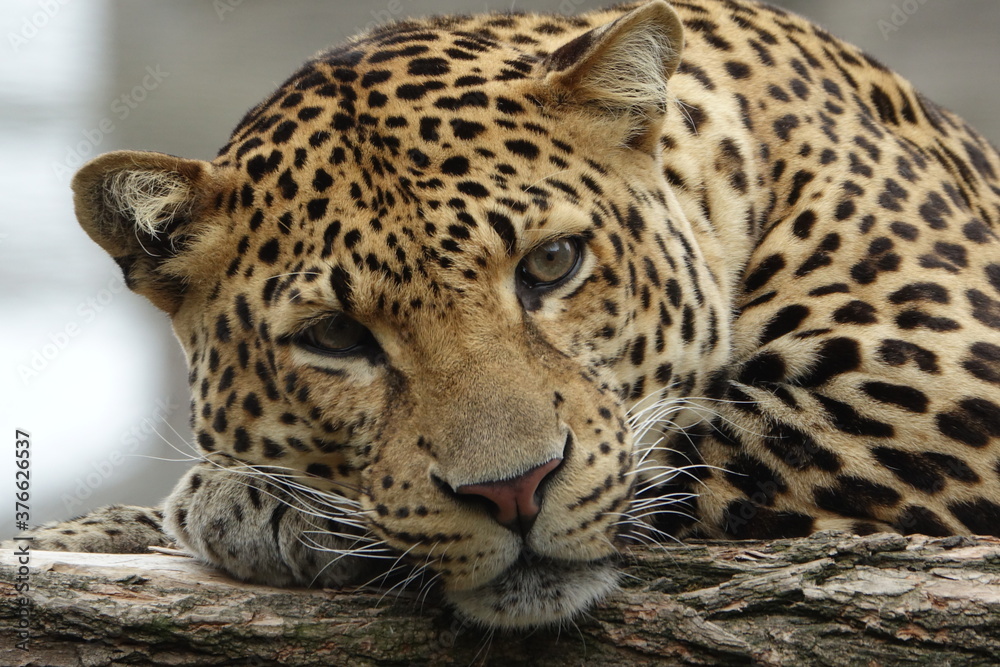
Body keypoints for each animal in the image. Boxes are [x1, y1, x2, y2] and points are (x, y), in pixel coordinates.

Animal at [22, 0, 1000, 631]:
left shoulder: (940, 379)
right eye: (335, 335)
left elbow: (695, 438)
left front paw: (238, 499)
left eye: (552, 264)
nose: (512, 492)